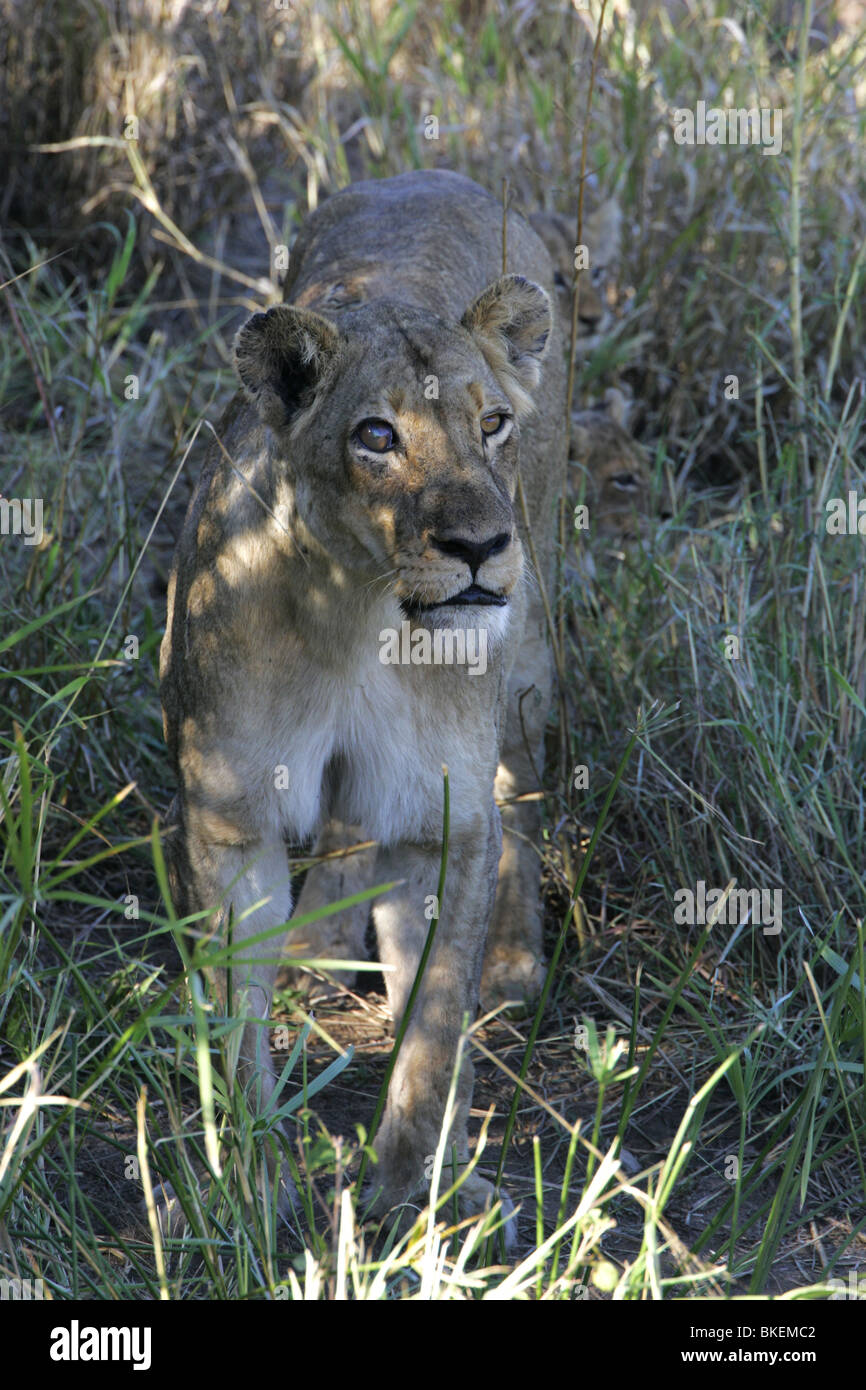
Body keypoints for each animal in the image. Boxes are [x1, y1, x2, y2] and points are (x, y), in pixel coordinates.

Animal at [160, 169, 566, 1241]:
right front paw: (254, 1178)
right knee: (346, 830)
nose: (480, 547)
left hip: (527, 667)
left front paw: (413, 1194)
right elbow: (237, 1016)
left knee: (518, 801)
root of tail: (431, 171)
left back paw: (512, 961)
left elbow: (431, 1037)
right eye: (377, 437)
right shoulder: (231, 815)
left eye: (491, 425)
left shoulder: (443, 817)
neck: (359, 612)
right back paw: (316, 948)